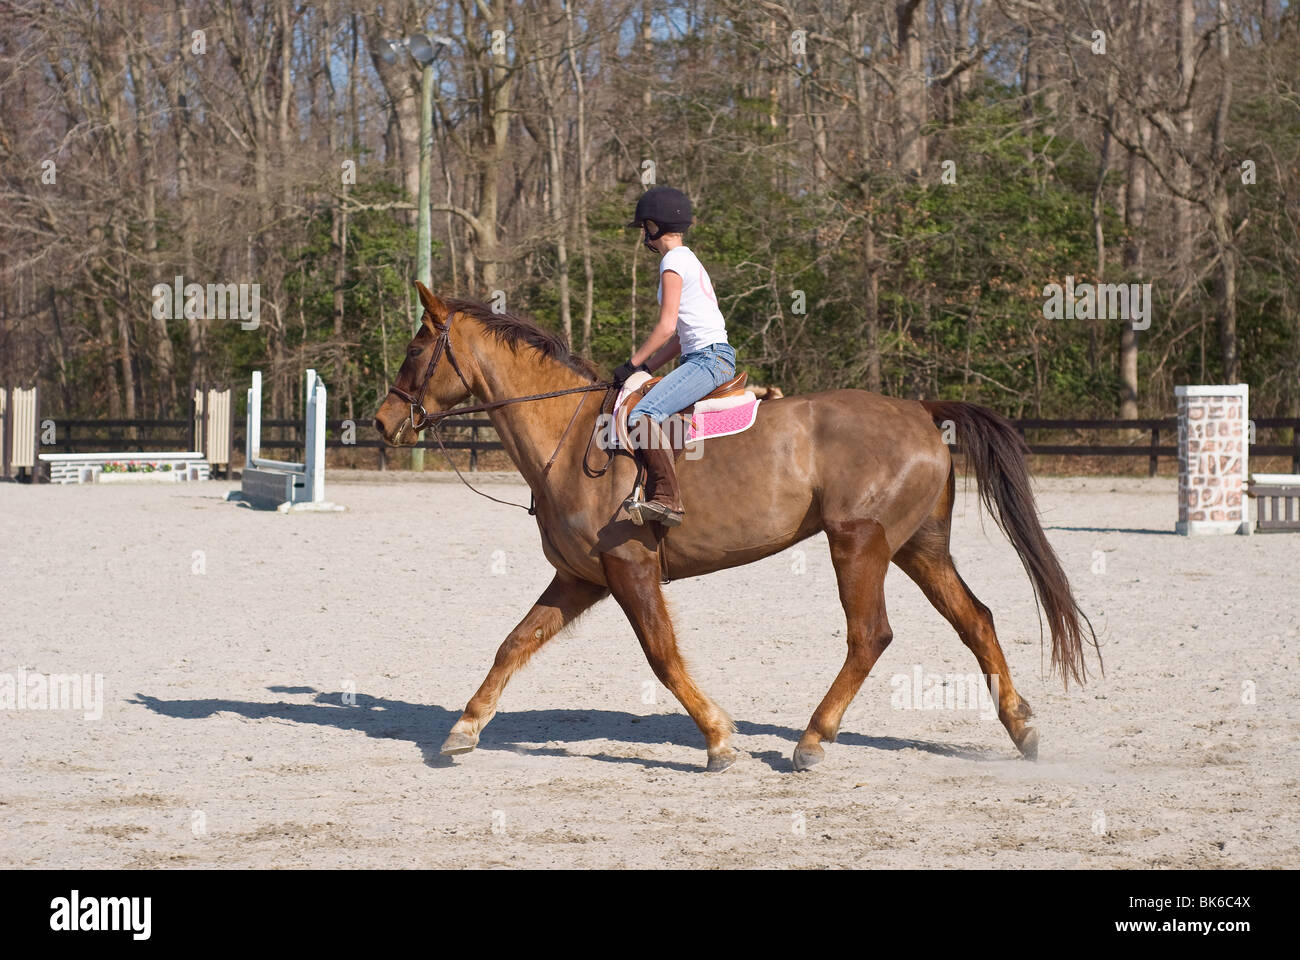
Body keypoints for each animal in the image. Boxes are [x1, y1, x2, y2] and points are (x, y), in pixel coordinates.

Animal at [374, 282, 1097, 772]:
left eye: (414, 349)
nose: (382, 422)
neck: (571, 436)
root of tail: (921, 411)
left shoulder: (629, 568)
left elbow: (662, 655)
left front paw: (719, 739)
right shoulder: (582, 577)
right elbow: (513, 644)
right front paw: (464, 730)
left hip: (858, 543)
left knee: (870, 636)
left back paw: (812, 740)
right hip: (919, 547)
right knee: (976, 620)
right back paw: (1022, 729)